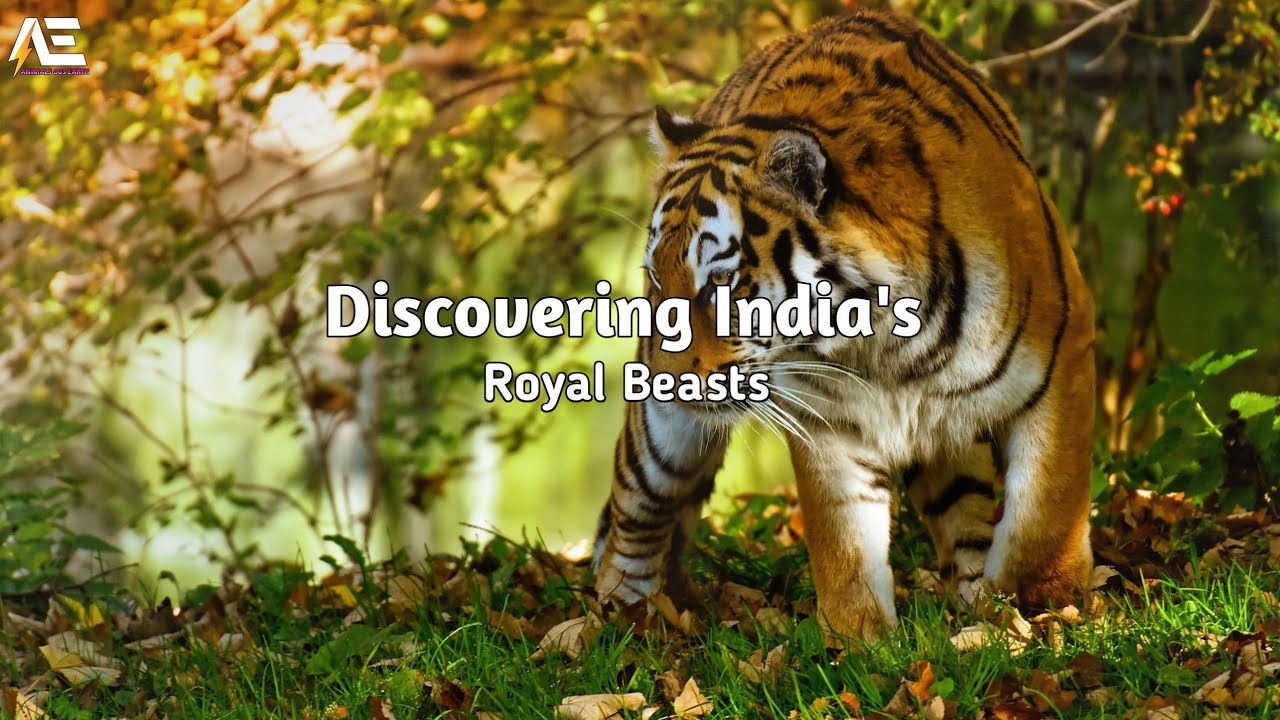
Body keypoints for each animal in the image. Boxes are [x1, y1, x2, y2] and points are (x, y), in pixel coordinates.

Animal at [591, 6, 1096, 640]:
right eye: (658, 280)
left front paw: (1041, 607)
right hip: (660, 446)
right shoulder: (827, 419)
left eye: (721, 282)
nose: (664, 378)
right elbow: (845, 546)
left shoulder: (1062, 357)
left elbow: (1046, 514)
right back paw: (620, 620)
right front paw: (861, 644)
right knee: (634, 514)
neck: (885, 343)